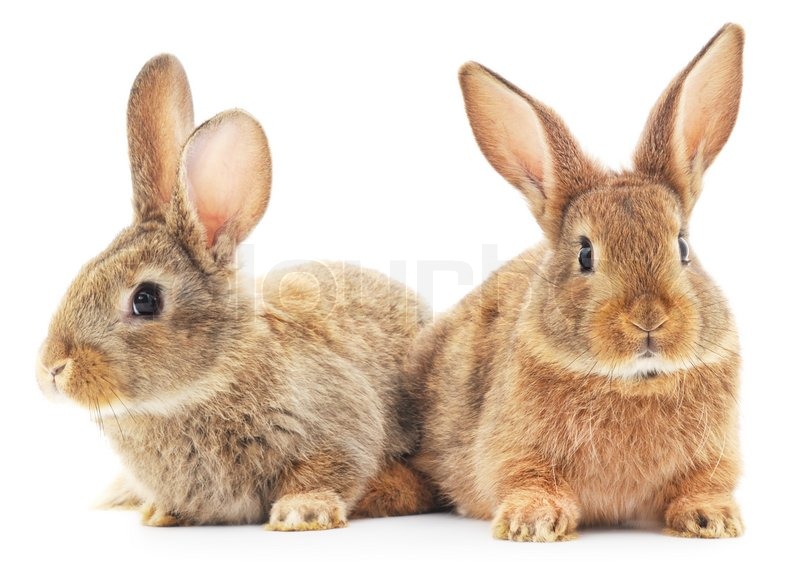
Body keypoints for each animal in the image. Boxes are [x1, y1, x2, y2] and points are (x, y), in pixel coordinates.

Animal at [35, 53, 434, 529]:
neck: (209, 378)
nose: (53, 369)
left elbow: (329, 468)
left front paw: (302, 512)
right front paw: (160, 512)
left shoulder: (340, 424)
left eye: (145, 299)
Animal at [409, 24, 745, 541]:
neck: (634, 382)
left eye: (683, 247)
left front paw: (713, 518)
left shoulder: (714, 453)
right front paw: (532, 522)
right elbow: (526, 478)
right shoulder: (513, 449)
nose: (648, 318)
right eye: (585, 254)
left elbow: (703, 482)